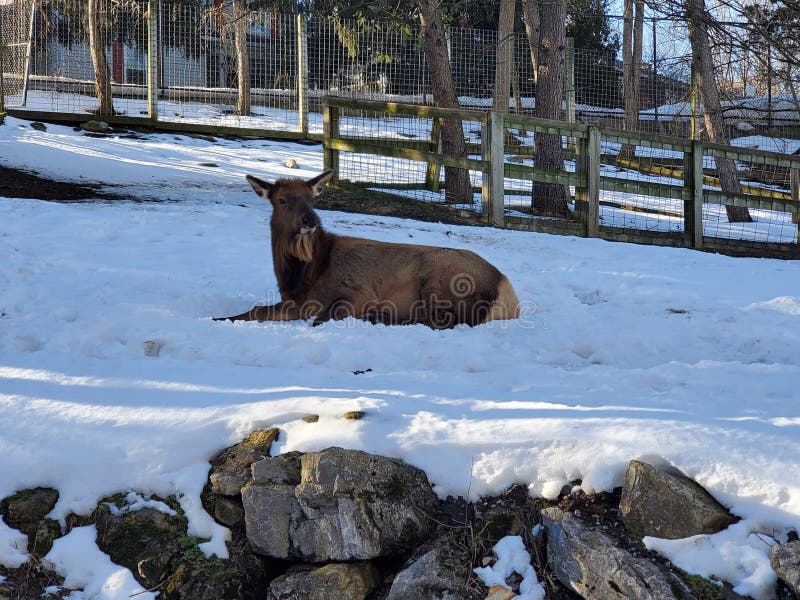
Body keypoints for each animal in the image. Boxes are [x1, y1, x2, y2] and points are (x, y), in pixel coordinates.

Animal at [214, 170, 520, 329]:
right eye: (281, 200)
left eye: (311, 199)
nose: (310, 220)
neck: (304, 276)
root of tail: (507, 290)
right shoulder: (296, 301)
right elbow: (256, 310)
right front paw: (219, 317)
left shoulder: (359, 292)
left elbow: (328, 315)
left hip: (444, 279)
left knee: (446, 321)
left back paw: (380, 317)